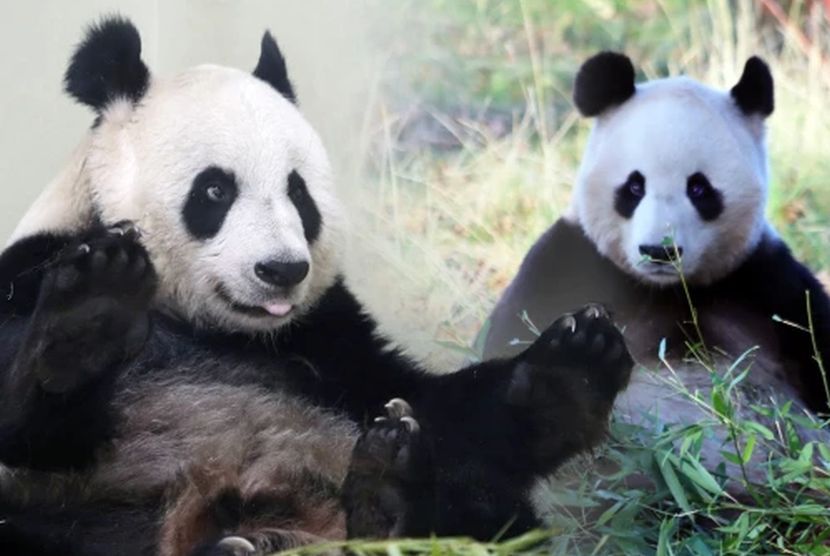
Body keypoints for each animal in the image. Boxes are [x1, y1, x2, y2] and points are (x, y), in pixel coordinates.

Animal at [0, 18, 634, 556]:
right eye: (215, 190)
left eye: (298, 193)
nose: (282, 270)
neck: (212, 327)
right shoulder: (24, 280)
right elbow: (32, 425)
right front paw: (92, 313)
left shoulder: (330, 338)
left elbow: (444, 413)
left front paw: (572, 368)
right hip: (85, 518)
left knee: (481, 512)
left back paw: (388, 494)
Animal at [483, 52, 830, 484]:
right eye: (634, 187)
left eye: (699, 188)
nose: (659, 251)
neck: (667, 288)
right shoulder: (565, 267)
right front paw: (585, 348)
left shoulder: (767, 285)